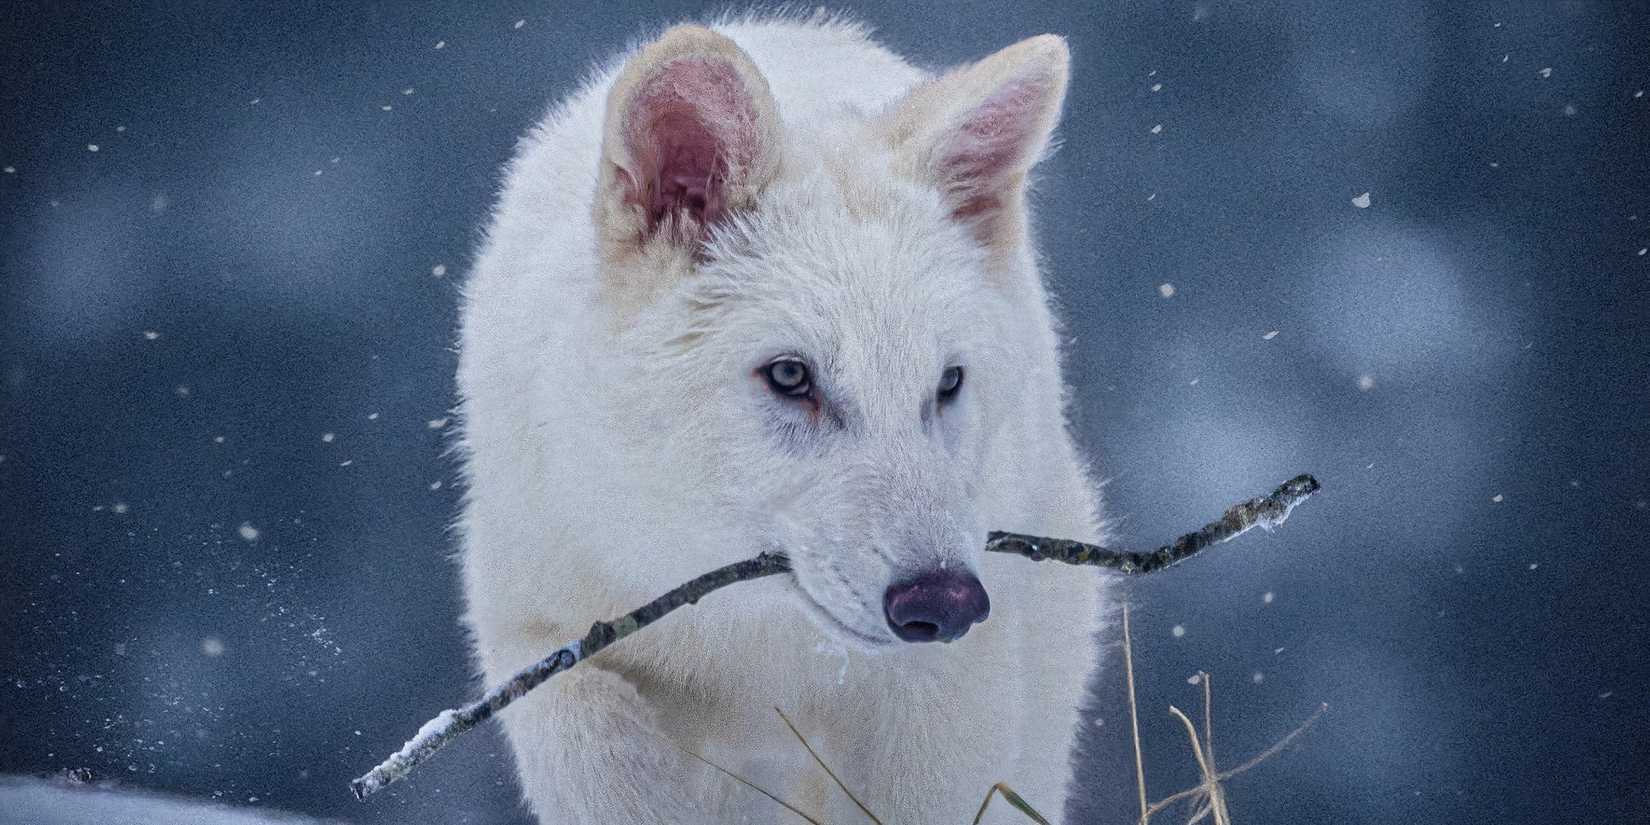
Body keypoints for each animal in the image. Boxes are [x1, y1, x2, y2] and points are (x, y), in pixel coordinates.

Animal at [455, 12, 1109, 824]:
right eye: (791, 376)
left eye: (948, 383)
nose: (944, 602)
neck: (752, 636)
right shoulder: (539, 631)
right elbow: (603, 758)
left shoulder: (943, 697)